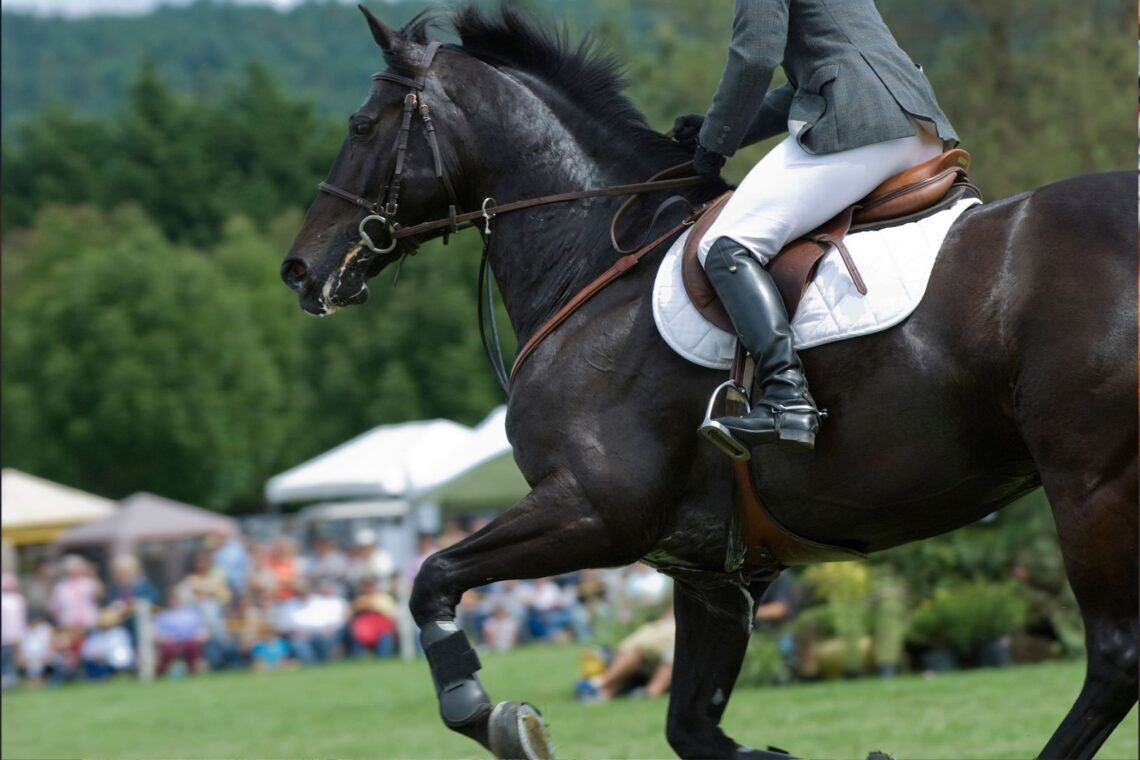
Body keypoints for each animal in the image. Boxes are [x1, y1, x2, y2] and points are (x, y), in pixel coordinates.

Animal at [281, 7, 1137, 759]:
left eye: (361, 126)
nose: (299, 270)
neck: (595, 261)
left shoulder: (595, 511)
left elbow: (431, 577)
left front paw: (487, 714)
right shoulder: (711, 569)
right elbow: (694, 729)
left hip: (1091, 484)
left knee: (1114, 658)